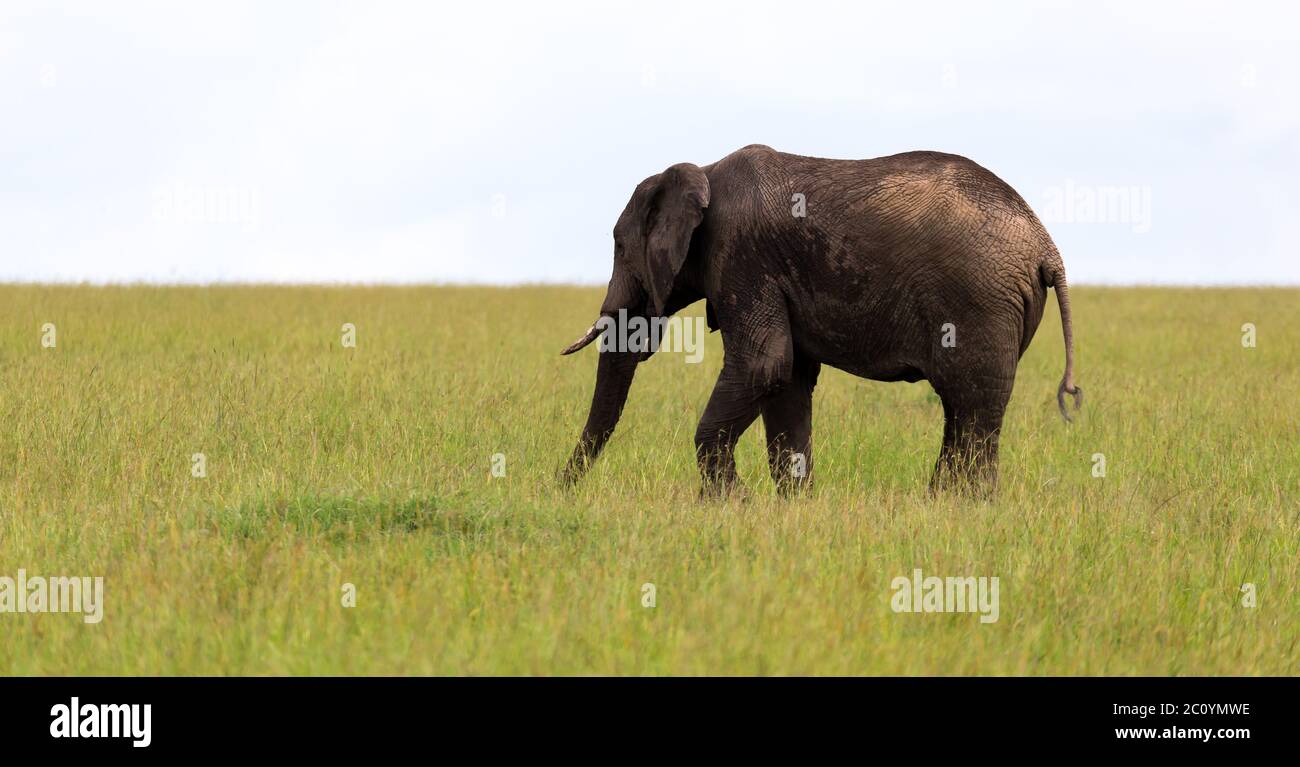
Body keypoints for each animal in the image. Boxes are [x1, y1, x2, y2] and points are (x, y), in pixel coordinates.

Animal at [559, 144, 1081, 495]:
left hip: (980, 302)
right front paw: (792, 507)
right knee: (962, 409)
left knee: (972, 409)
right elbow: (786, 379)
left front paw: (730, 505)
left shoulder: (743, 255)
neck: (701, 172)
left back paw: (963, 508)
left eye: (620, 246)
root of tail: (1046, 246)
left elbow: (763, 365)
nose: (559, 488)